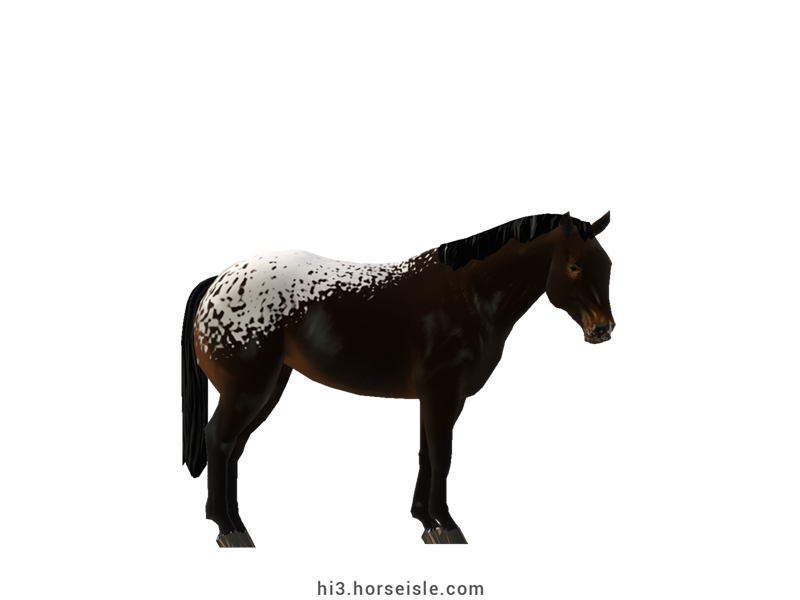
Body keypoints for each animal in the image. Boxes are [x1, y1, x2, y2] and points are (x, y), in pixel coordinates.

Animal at [181, 211, 612, 539]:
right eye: (573, 266)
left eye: (606, 265)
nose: (602, 328)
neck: (468, 295)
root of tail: (217, 284)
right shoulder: (442, 390)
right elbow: (441, 453)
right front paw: (446, 523)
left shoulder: (437, 395)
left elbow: (428, 452)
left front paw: (425, 517)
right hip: (246, 389)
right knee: (219, 441)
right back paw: (229, 528)